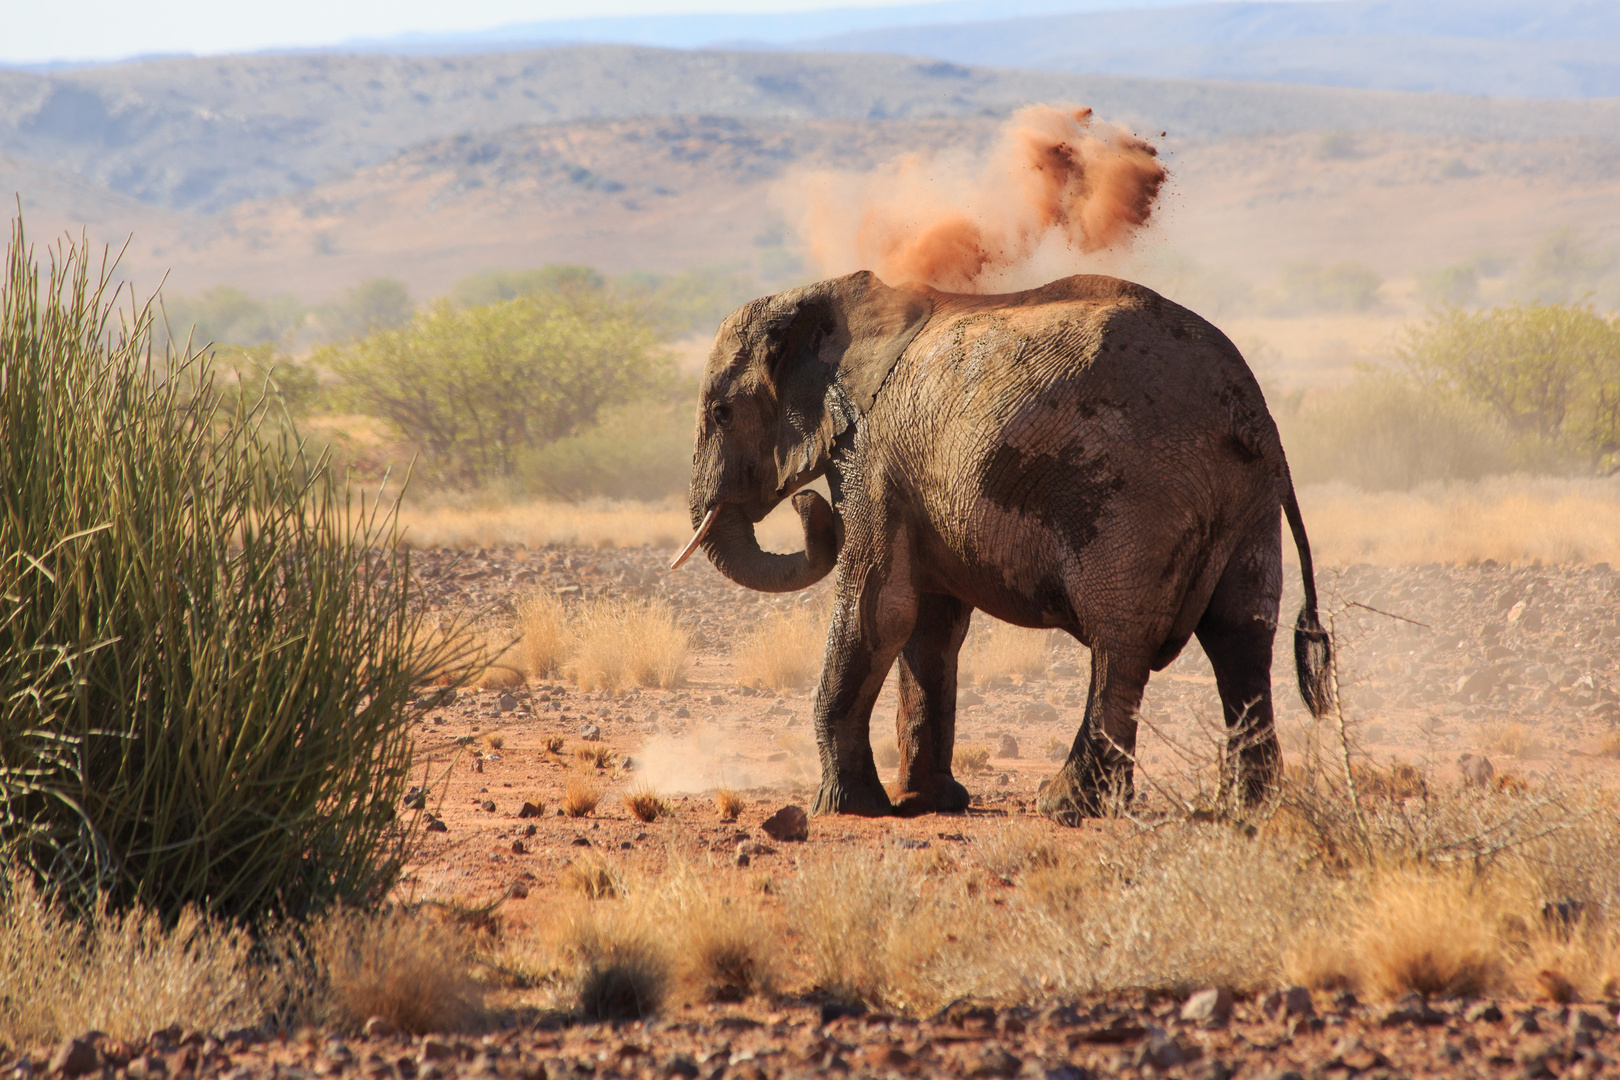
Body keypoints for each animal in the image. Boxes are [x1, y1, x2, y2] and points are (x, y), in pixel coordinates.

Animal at [672, 269, 1333, 823]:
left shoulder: (874, 458)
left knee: (1120, 642)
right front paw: (929, 803)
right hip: (1246, 502)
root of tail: (1253, 411)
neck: (825, 298)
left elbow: (876, 612)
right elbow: (930, 626)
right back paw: (1241, 809)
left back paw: (1067, 807)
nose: (808, 509)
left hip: (1137, 495)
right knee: (1240, 638)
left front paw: (849, 809)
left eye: (722, 412)